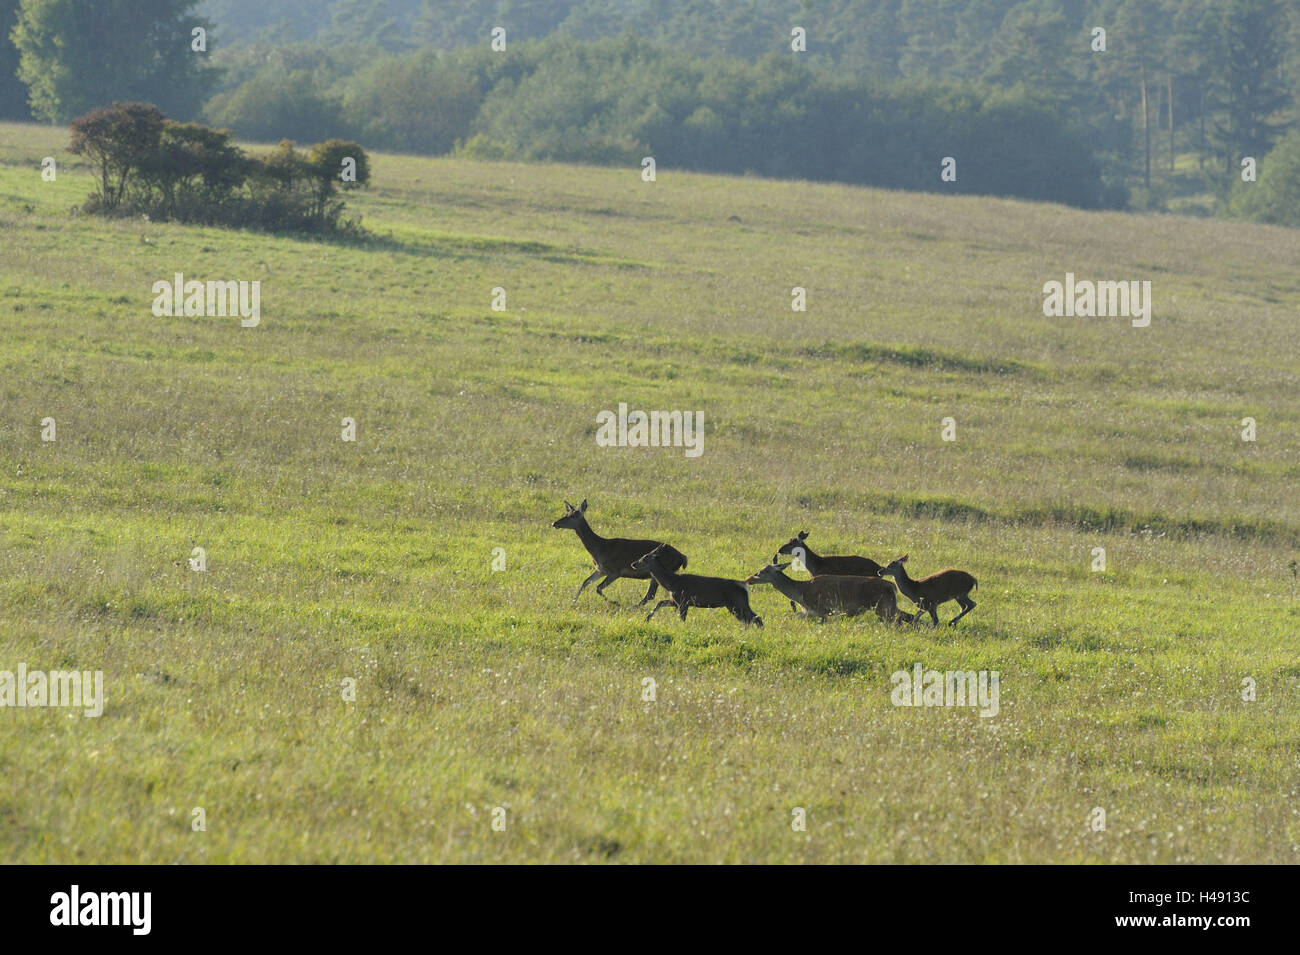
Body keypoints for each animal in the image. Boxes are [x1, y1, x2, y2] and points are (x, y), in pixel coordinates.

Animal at [551, 499, 688, 606]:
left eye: (572, 516)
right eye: (566, 513)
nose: (554, 523)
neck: (599, 548)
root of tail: (682, 557)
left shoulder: (615, 571)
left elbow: (598, 588)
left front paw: (615, 602)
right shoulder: (600, 570)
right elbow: (585, 582)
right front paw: (573, 601)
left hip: (661, 570)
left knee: (651, 595)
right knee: (650, 595)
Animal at [631, 545, 763, 628]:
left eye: (645, 558)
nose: (633, 564)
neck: (671, 583)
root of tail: (744, 585)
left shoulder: (683, 601)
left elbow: (682, 618)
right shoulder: (676, 601)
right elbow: (660, 603)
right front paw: (647, 618)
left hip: (736, 603)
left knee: (754, 618)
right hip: (736, 604)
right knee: (750, 619)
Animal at [746, 562, 912, 624]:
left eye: (761, 571)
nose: (748, 579)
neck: (801, 594)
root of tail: (893, 586)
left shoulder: (823, 609)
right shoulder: (809, 611)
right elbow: (791, 615)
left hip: (883, 606)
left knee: (900, 618)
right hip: (889, 605)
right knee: (907, 616)